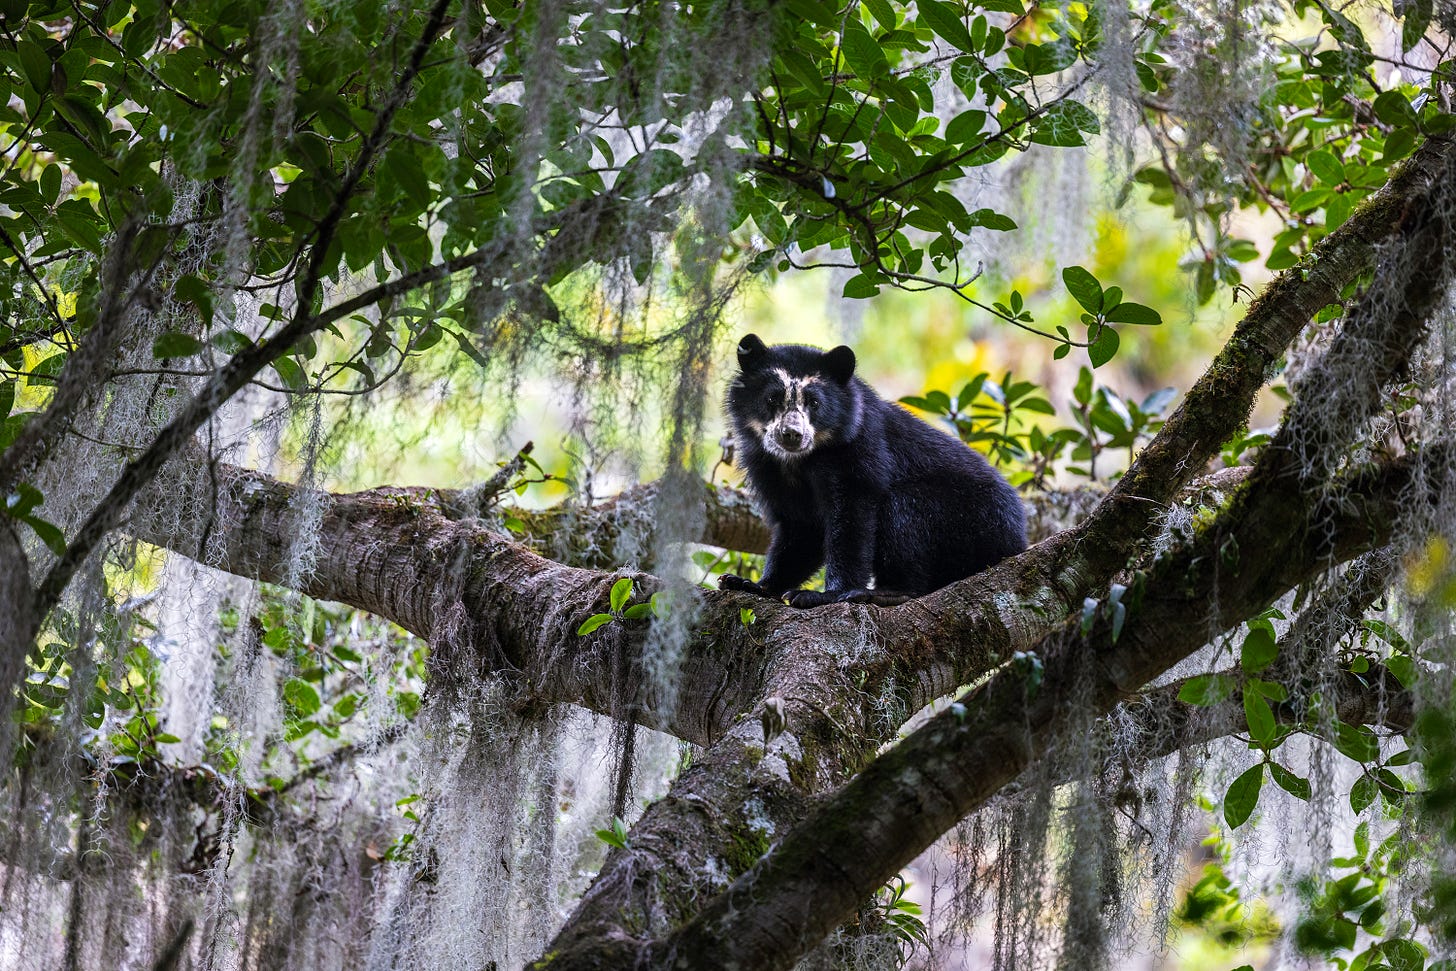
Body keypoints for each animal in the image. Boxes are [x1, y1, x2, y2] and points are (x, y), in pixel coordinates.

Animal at [719, 333, 1027, 608]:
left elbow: (852, 517)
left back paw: (887, 592)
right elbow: (800, 528)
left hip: (971, 521)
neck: (800, 461)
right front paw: (749, 584)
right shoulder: (766, 465)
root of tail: (1017, 541)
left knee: (903, 509)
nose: (792, 434)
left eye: (814, 402)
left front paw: (822, 595)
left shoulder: (859, 449)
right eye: (772, 399)